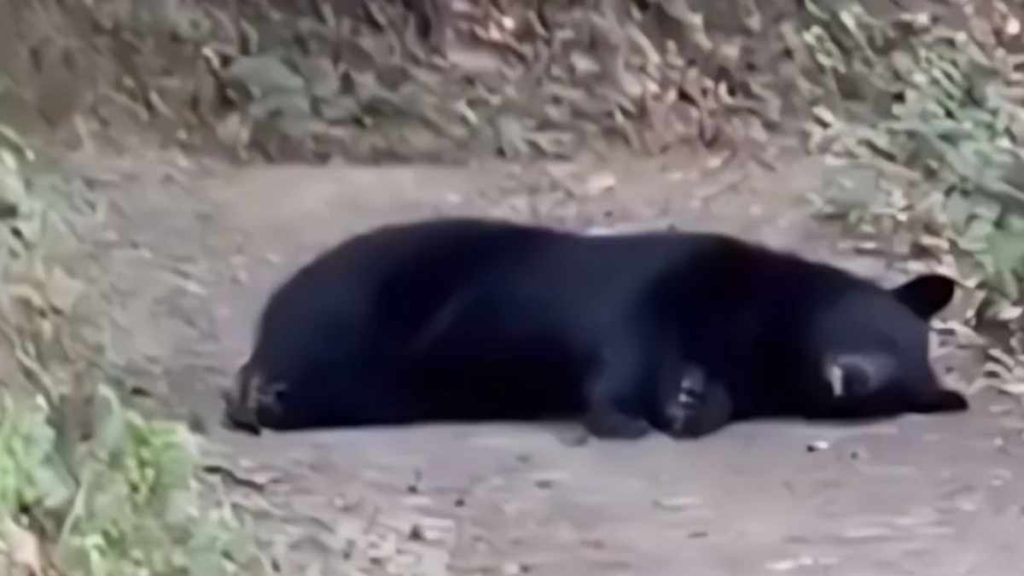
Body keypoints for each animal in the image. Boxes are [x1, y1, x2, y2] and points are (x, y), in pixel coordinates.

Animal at [221, 217, 968, 440]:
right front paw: (624, 415)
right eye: (881, 327)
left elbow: (714, 392)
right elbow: (625, 339)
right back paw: (260, 393)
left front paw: (689, 402)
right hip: (360, 296)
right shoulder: (679, 277)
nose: (853, 377)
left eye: (899, 385)